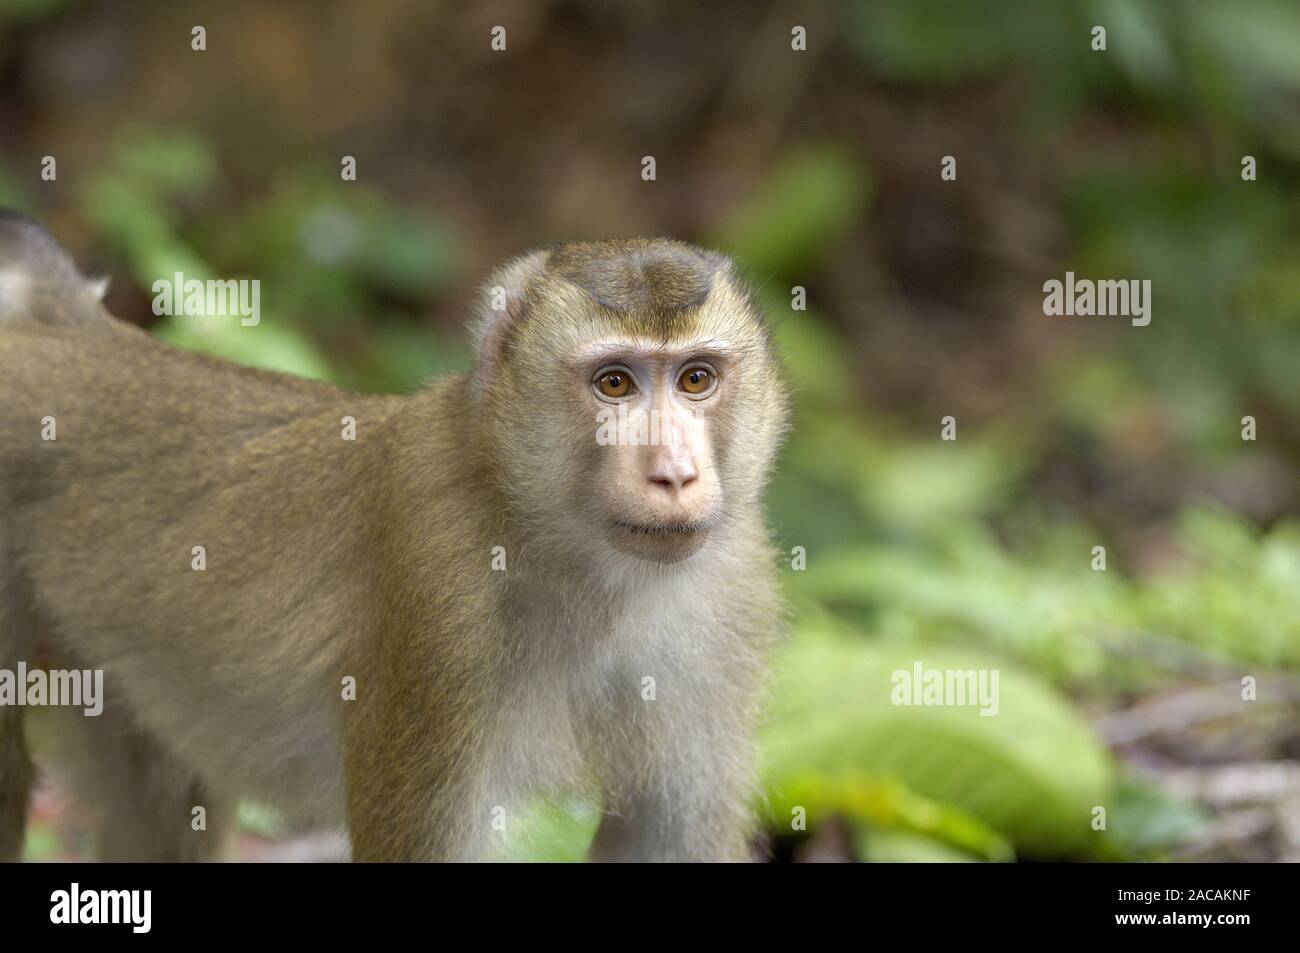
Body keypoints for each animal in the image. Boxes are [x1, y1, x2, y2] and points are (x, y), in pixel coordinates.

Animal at [0, 210, 789, 862]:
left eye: (696, 379)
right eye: (615, 384)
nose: (675, 474)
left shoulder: (732, 596)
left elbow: (665, 838)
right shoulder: (442, 611)